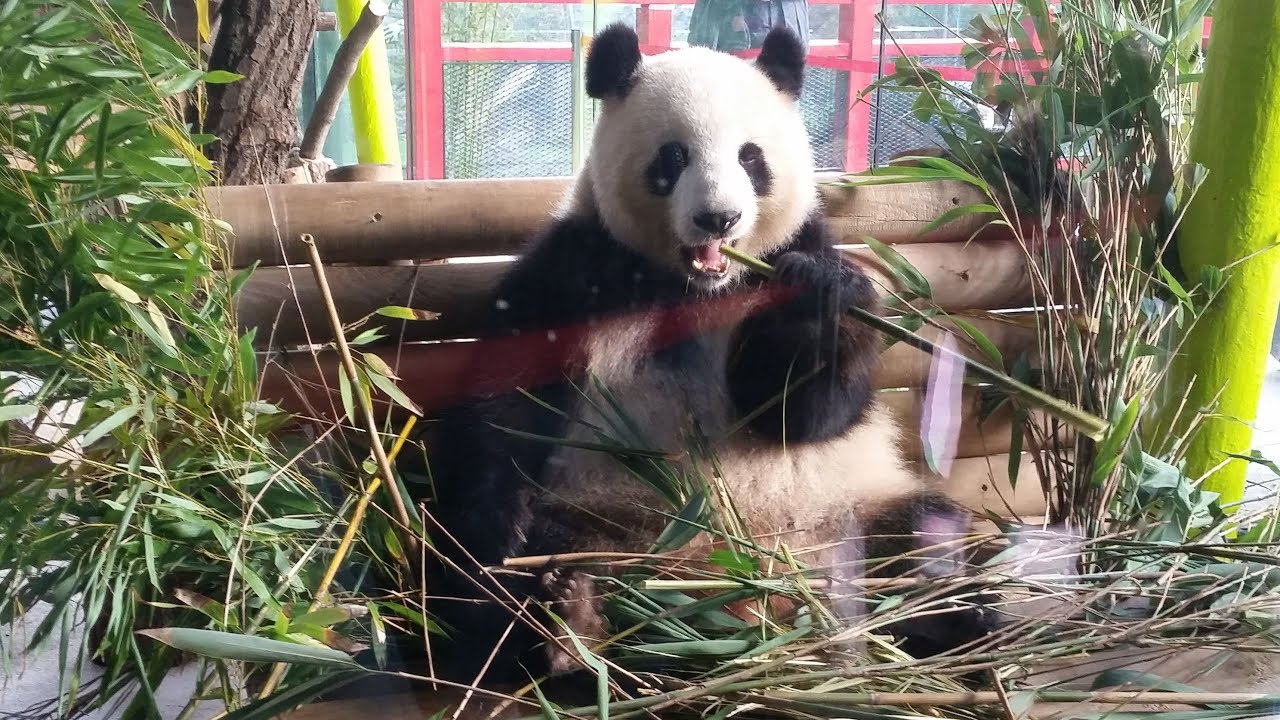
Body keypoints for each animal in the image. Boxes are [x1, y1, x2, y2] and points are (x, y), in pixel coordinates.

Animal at [415, 22, 997, 688]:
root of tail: (742, 603)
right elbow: (504, 408)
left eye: (751, 157)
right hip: (612, 515)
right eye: (674, 157)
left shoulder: (794, 253)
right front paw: (497, 529)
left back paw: (962, 617)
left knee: (926, 535)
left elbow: (807, 412)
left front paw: (813, 300)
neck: (697, 286)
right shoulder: (577, 270)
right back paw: (569, 623)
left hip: (849, 509)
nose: (718, 218)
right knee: (541, 559)